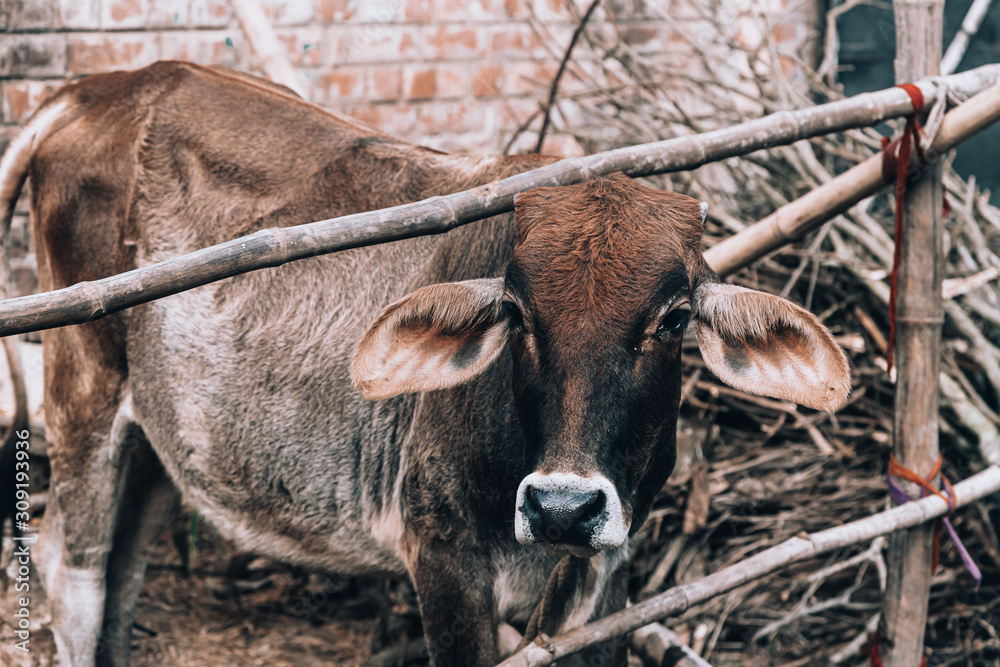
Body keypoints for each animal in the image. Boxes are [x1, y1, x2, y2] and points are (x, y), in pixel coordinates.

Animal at [0, 61, 851, 667]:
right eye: (516, 312)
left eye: (674, 318)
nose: (563, 506)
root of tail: (94, 89)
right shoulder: (443, 557)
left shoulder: (610, 572)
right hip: (84, 388)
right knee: (71, 571)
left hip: (157, 435)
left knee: (120, 576)